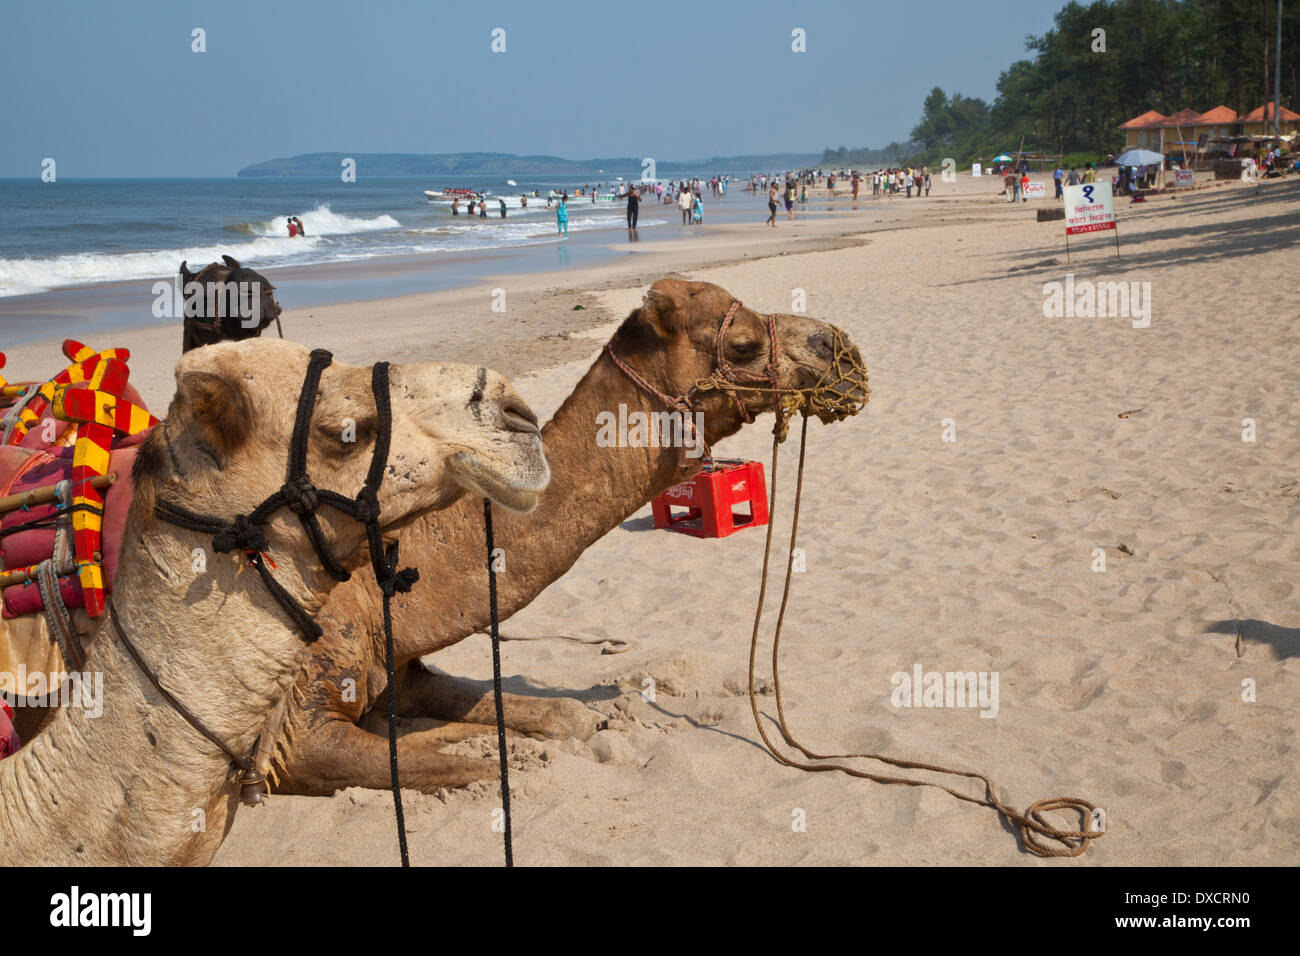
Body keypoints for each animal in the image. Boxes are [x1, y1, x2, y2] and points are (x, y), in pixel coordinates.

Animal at [270, 278, 869, 794]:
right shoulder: (302, 729)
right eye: (743, 345)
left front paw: (577, 719)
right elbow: (456, 763)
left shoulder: (401, 671)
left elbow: (555, 713)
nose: (840, 349)